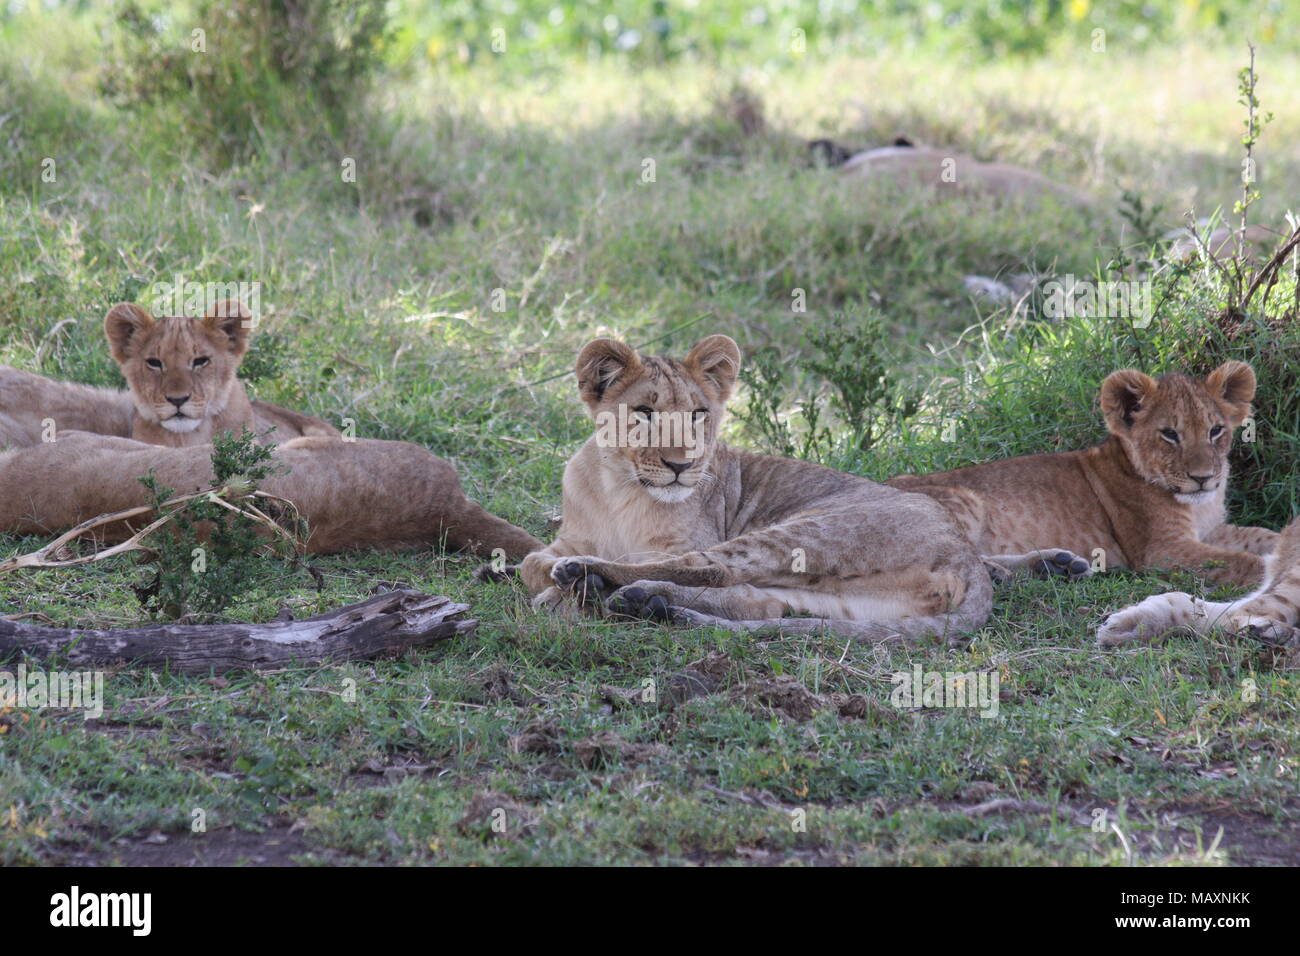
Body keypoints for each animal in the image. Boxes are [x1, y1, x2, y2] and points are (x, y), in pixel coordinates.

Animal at [515, 334, 1004, 644]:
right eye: (644, 413)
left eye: (698, 413)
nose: (682, 465)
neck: (619, 488)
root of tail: (967, 555)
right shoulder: (567, 538)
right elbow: (529, 562)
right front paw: (559, 589)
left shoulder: (675, 543)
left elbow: (657, 560)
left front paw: (562, 595)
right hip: (836, 596)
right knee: (763, 605)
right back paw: (641, 602)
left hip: (808, 533)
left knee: (712, 570)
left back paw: (599, 583)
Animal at [887, 361, 1275, 587]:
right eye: (1169, 434)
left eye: (1215, 430)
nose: (1203, 477)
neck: (1199, 505)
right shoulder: (1161, 550)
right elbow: (1245, 562)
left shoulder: (1212, 530)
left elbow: (1262, 537)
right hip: (961, 500)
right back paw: (1002, 573)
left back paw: (1053, 566)